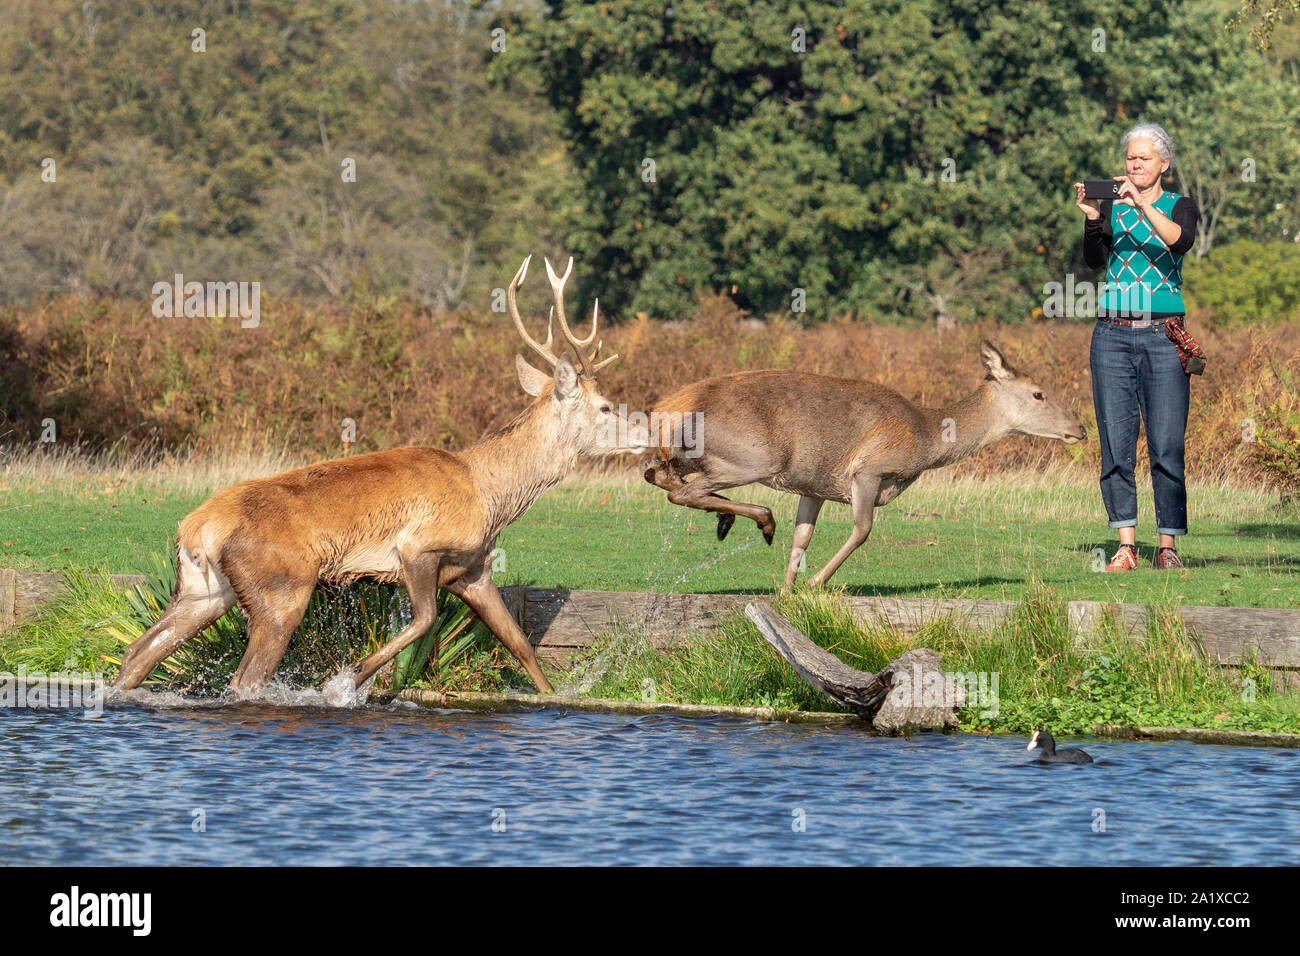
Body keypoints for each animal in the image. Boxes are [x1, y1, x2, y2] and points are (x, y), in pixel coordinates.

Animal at [113, 255, 647, 698]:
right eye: (604, 406)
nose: (645, 429)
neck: (492, 496)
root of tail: (197, 528)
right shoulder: (418, 547)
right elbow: (424, 621)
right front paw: (344, 681)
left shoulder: (474, 569)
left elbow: (519, 643)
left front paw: (554, 697)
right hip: (280, 589)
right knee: (245, 678)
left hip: (203, 591)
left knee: (137, 653)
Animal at [643, 341, 1086, 588]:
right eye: (1038, 393)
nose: (1080, 428)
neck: (926, 440)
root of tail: (669, 410)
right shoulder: (869, 470)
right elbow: (862, 530)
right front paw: (815, 584)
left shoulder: (813, 485)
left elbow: (802, 538)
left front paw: (786, 594)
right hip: (753, 457)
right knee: (682, 490)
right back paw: (760, 520)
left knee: (658, 475)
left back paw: (731, 520)